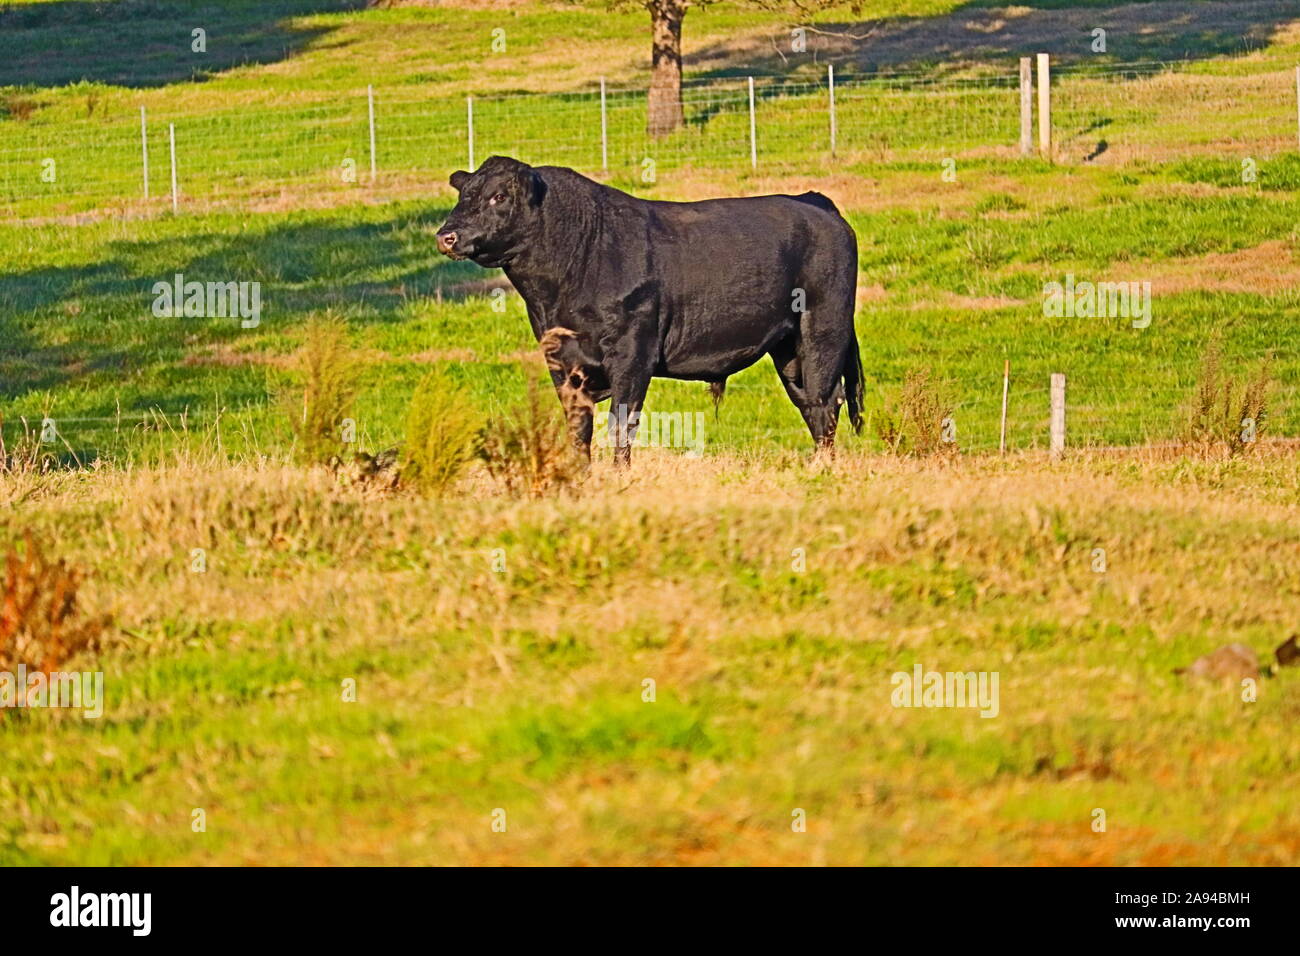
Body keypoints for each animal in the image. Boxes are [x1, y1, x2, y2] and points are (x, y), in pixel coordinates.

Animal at [435, 155, 863, 464]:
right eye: (463, 195)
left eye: (499, 197)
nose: (446, 236)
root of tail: (813, 201)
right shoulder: (560, 360)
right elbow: (578, 428)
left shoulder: (632, 354)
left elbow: (621, 425)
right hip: (788, 347)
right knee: (809, 403)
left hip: (824, 330)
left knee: (826, 400)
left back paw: (822, 468)